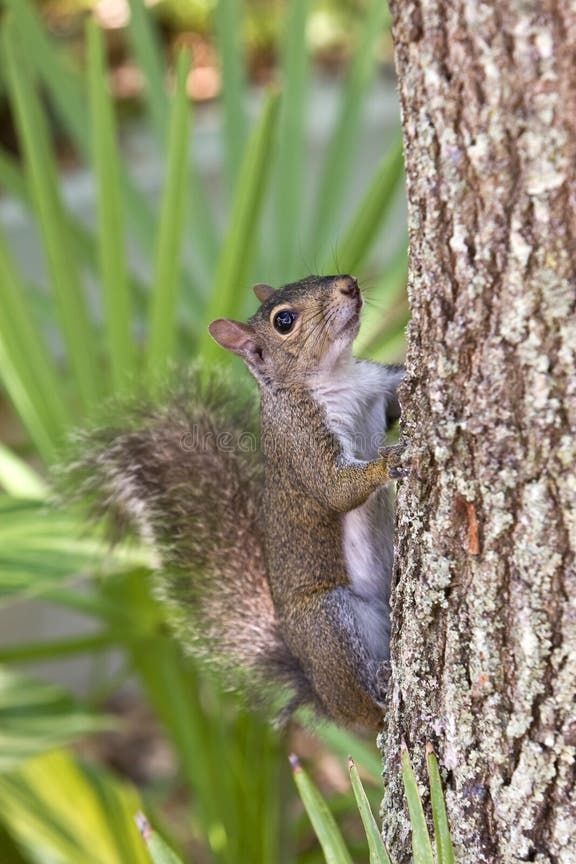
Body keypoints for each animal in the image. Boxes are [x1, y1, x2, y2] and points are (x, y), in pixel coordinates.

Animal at [72, 274, 404, 729]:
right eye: (284, 321)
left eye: (310, 277)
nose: (349, 284)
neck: (337, 374)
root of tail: (321, 695)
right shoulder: (301, 443)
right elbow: (334, 488)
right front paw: (388, 462)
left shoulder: (375, 386)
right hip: (327, 624)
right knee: (362, 706)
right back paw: (381, 692)